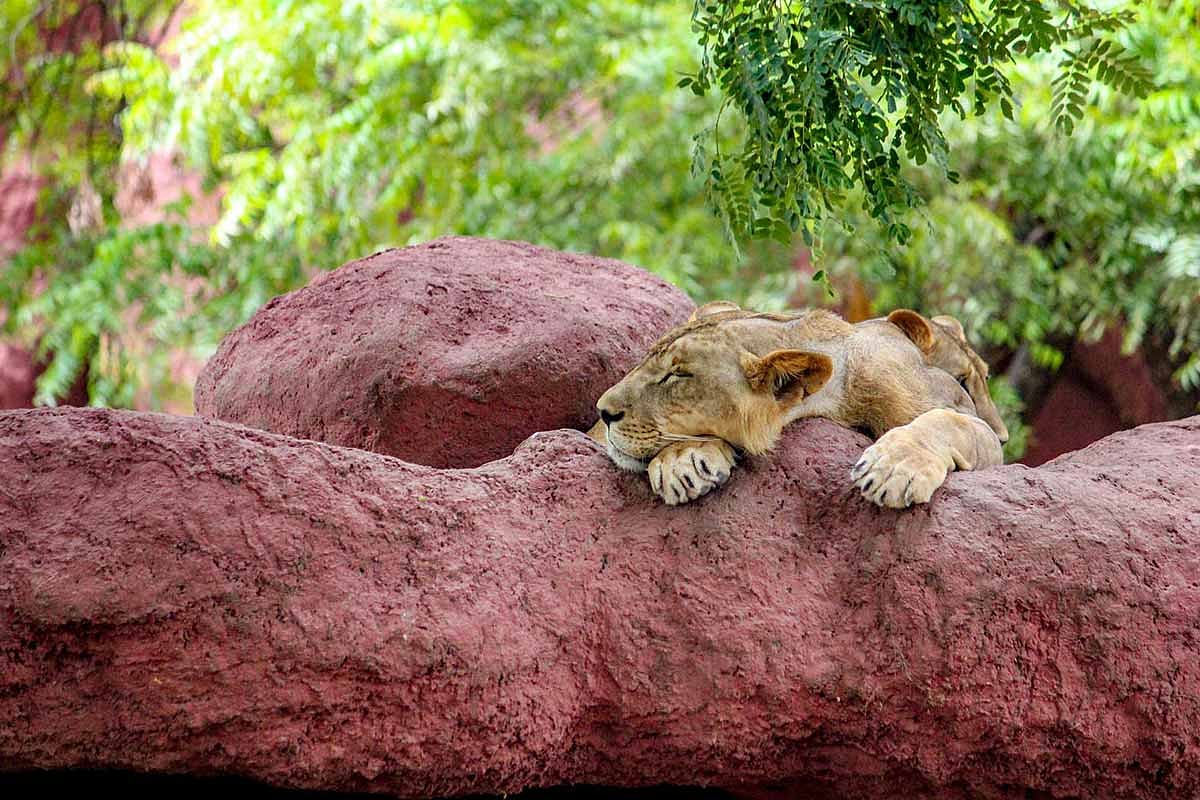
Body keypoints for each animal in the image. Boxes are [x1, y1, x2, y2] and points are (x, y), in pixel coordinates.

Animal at [591, 302, 1007, 508]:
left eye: (677, 376)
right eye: (647, 360)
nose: (603, 411)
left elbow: (945, 421)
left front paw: (893, 469)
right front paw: (682, 462)